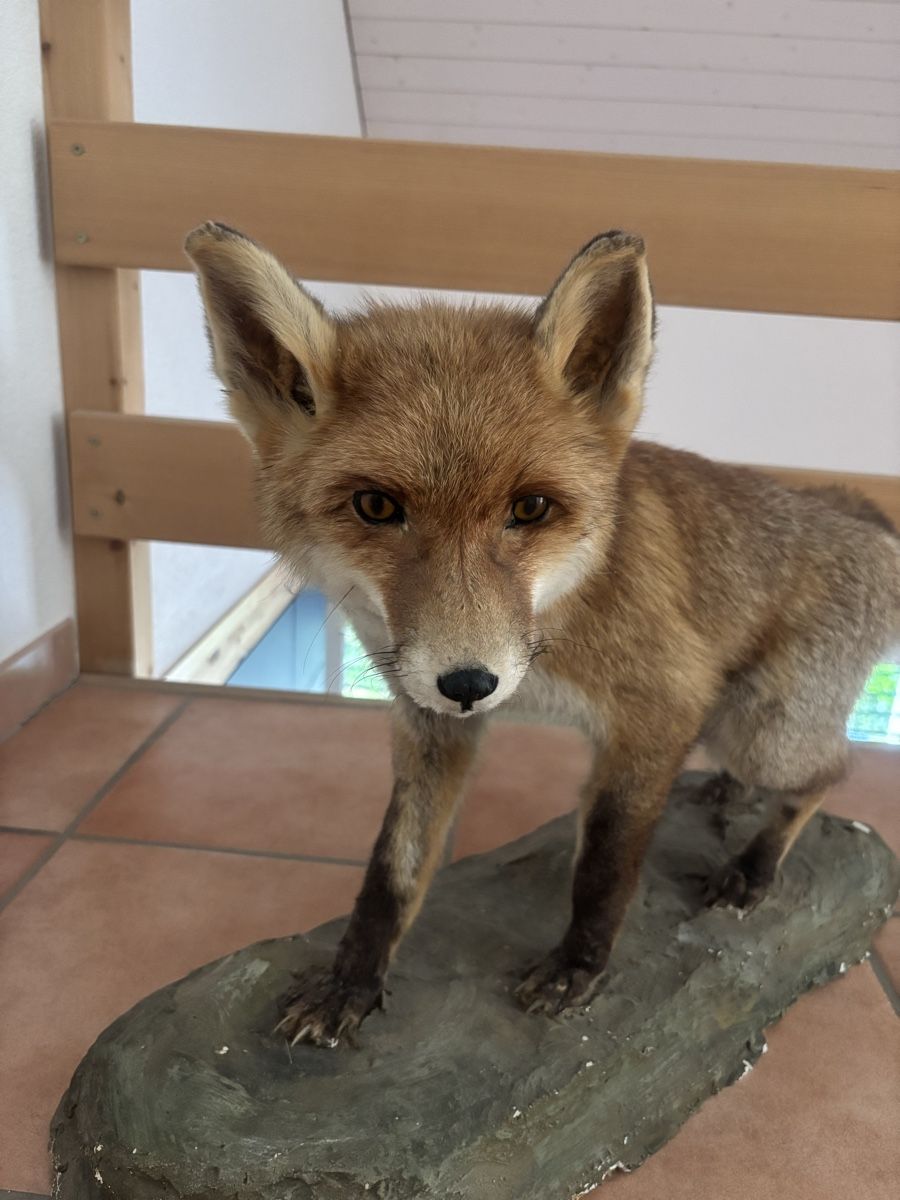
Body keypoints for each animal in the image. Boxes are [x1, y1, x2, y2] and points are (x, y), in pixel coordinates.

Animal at [185, 222, 899, 1049]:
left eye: (529, 508)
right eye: (375, 506)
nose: (470, 683)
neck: (560, 620)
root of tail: (859, 515)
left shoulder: (661, 710)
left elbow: (605, 869)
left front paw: (579, 970)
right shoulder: (429, 721)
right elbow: (392, 873)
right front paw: (352, 982)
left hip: (760, 729)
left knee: (830, 770)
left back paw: (754, 866)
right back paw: (725, 792)